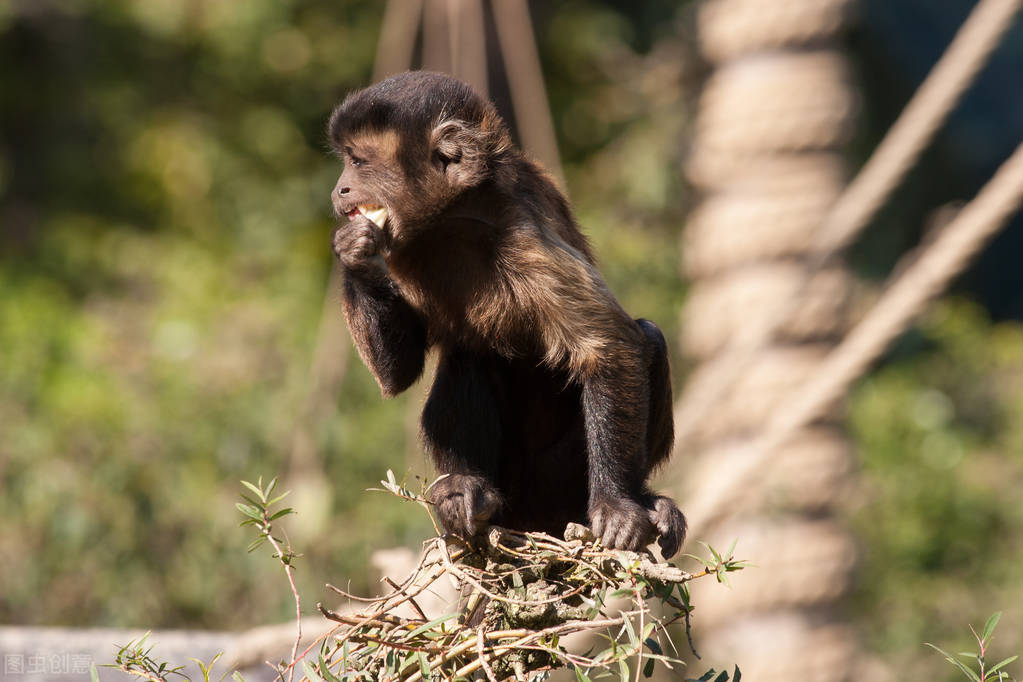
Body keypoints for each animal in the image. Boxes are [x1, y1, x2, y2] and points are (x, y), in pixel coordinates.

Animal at [328, 71, 686, 558]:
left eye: (358, 162)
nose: (339, 189)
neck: (455, 219)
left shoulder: (524, 234)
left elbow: (609, 348)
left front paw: (617, 507)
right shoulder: (403, 250)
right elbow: (397, 376)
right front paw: (355, 252)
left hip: (558, 479)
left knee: (649, 337)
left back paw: (647, 501)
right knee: (468, 355)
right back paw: (469, 492)